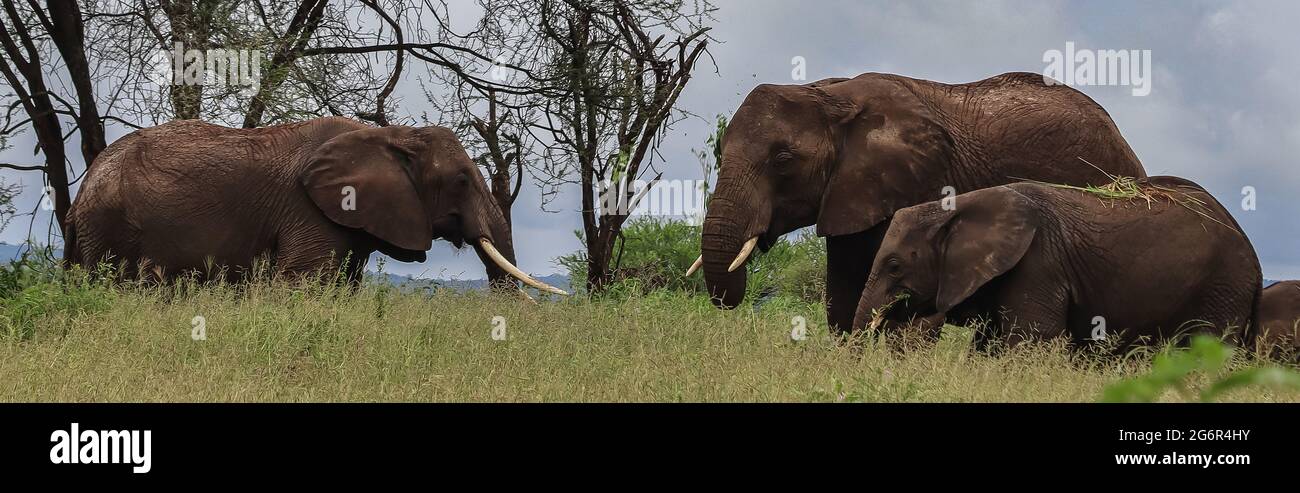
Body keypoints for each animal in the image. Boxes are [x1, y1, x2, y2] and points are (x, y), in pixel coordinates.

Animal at [64, 116, 565, 294]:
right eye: (461, 180)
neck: (389, 135)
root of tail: (84, 186)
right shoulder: (308, 211)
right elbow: (304, 284)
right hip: (110, 228)